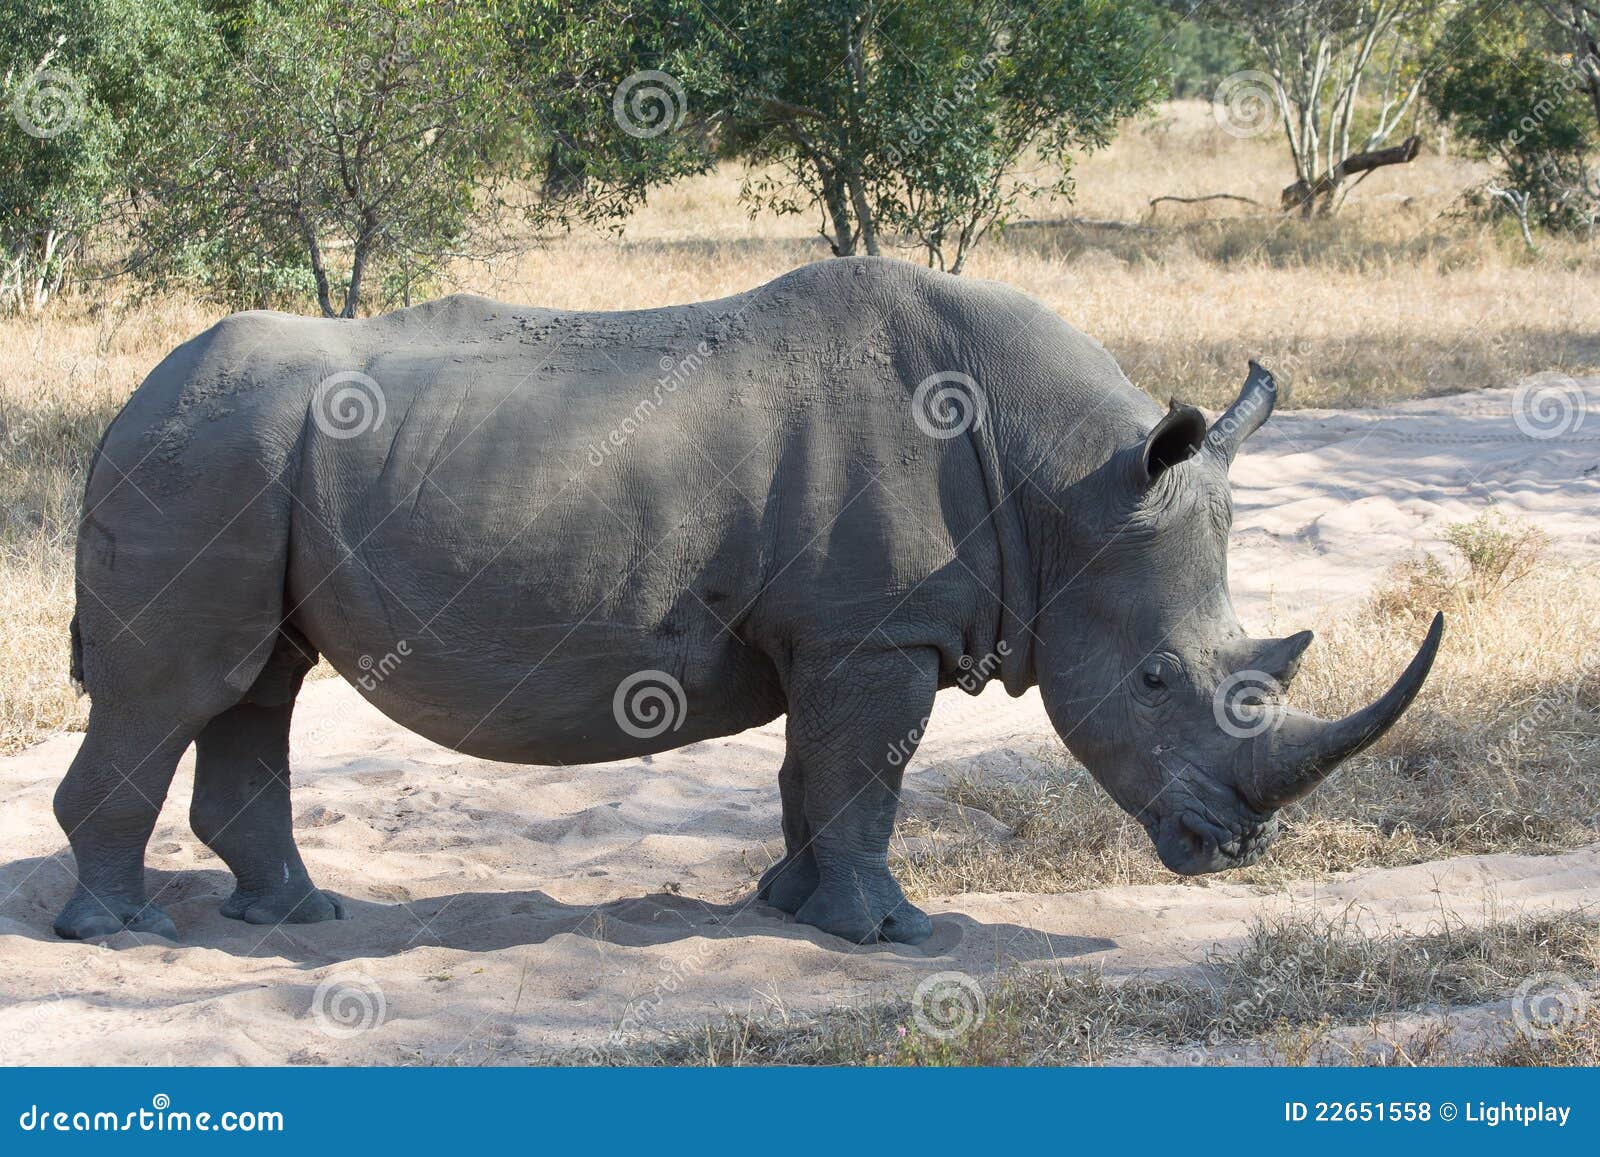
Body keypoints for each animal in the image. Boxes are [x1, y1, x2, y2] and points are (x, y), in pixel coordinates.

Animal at [53, 258, 1441, 946]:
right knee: (179, 689)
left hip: (239, 456)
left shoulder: (833, 632)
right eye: (1155, 680)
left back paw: (294, 916)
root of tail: (130, 400)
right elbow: (863, 774)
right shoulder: (875, 630)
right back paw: (122, 933)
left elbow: (812, 774)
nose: (1234, 850)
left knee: (258, 681)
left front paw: (791, 908)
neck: (1066, 484)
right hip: (202, 453)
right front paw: (893, 935)